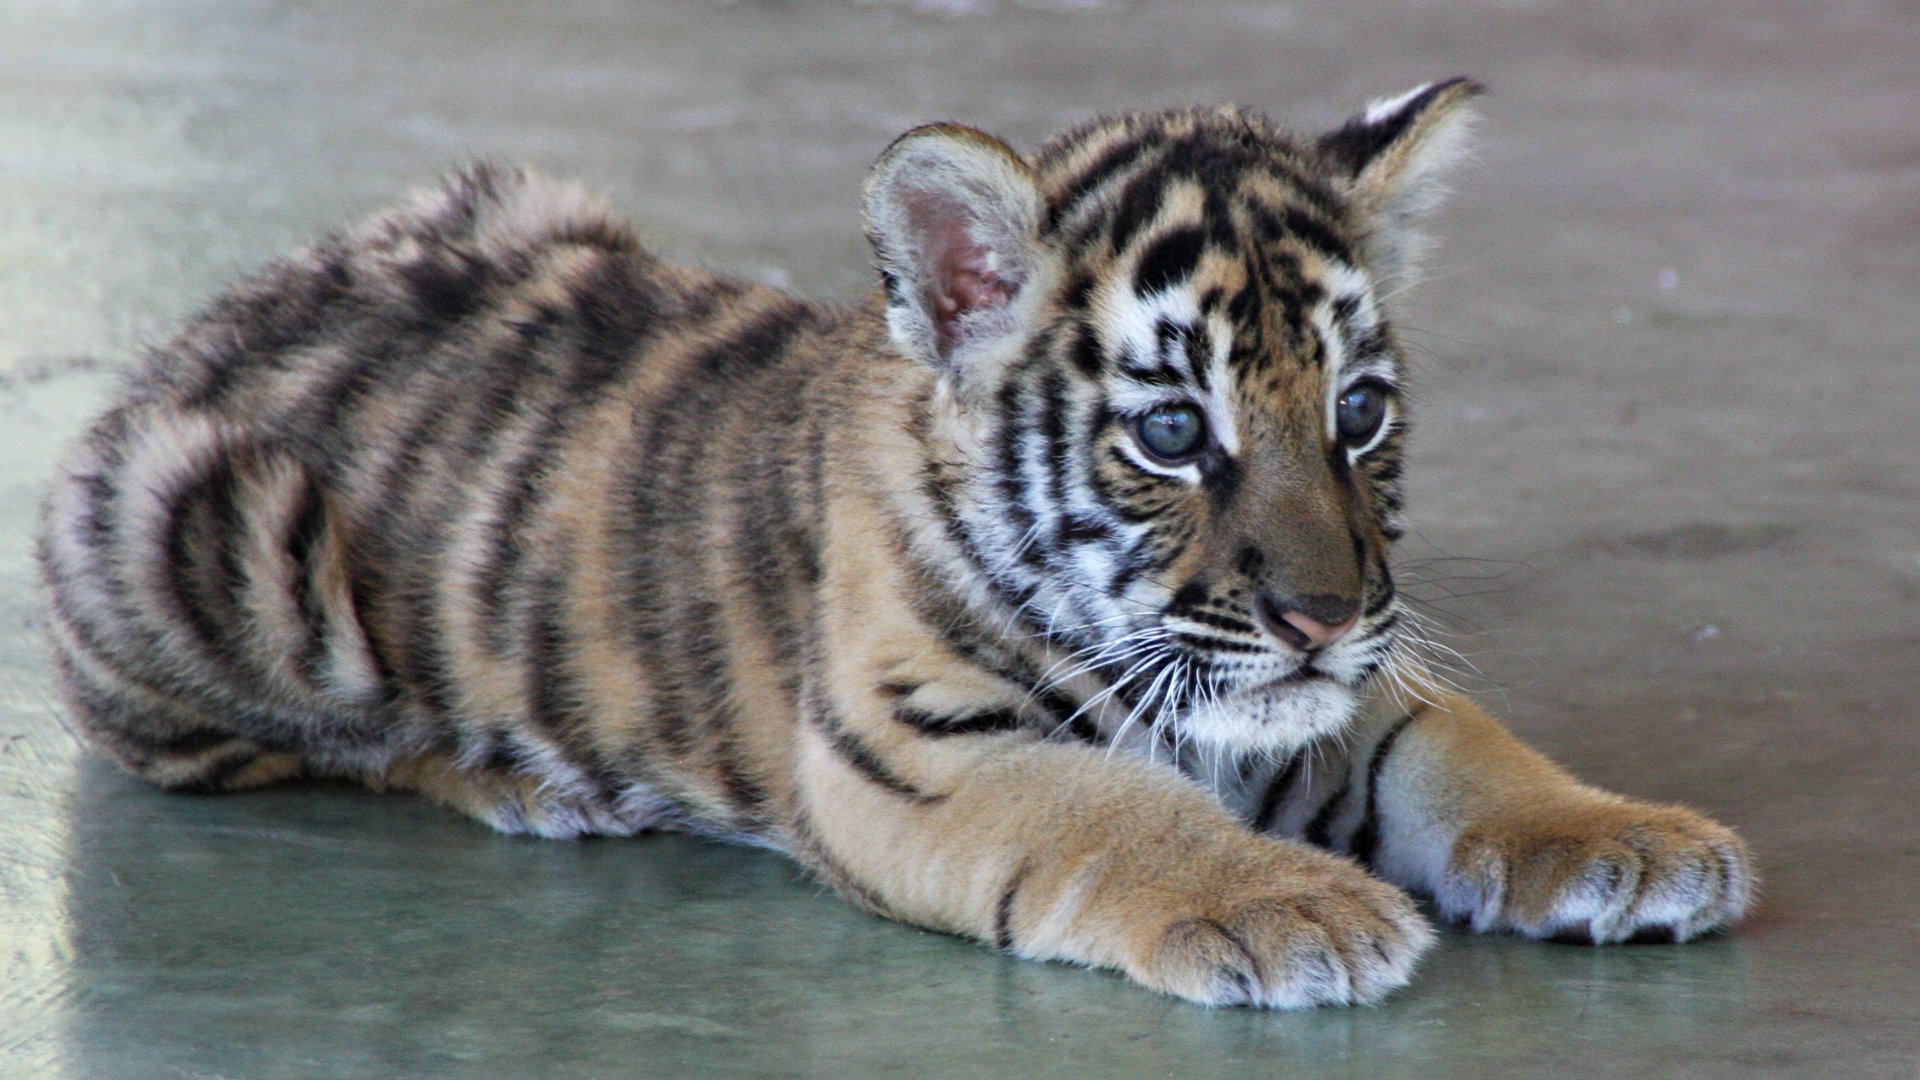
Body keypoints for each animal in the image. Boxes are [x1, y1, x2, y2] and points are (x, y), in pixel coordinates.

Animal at [38, 78, 1754, 1008]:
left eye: (1361, 411)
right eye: (1174, 433)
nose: (1327, 617)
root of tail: (211, 314)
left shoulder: (1331, 699)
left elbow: (1461, 749)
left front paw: (1629, 839)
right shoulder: (920, 749)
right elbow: (1120, 809)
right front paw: (1296, 907)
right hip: (218, 543)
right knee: (315, 745)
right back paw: (533, 790)